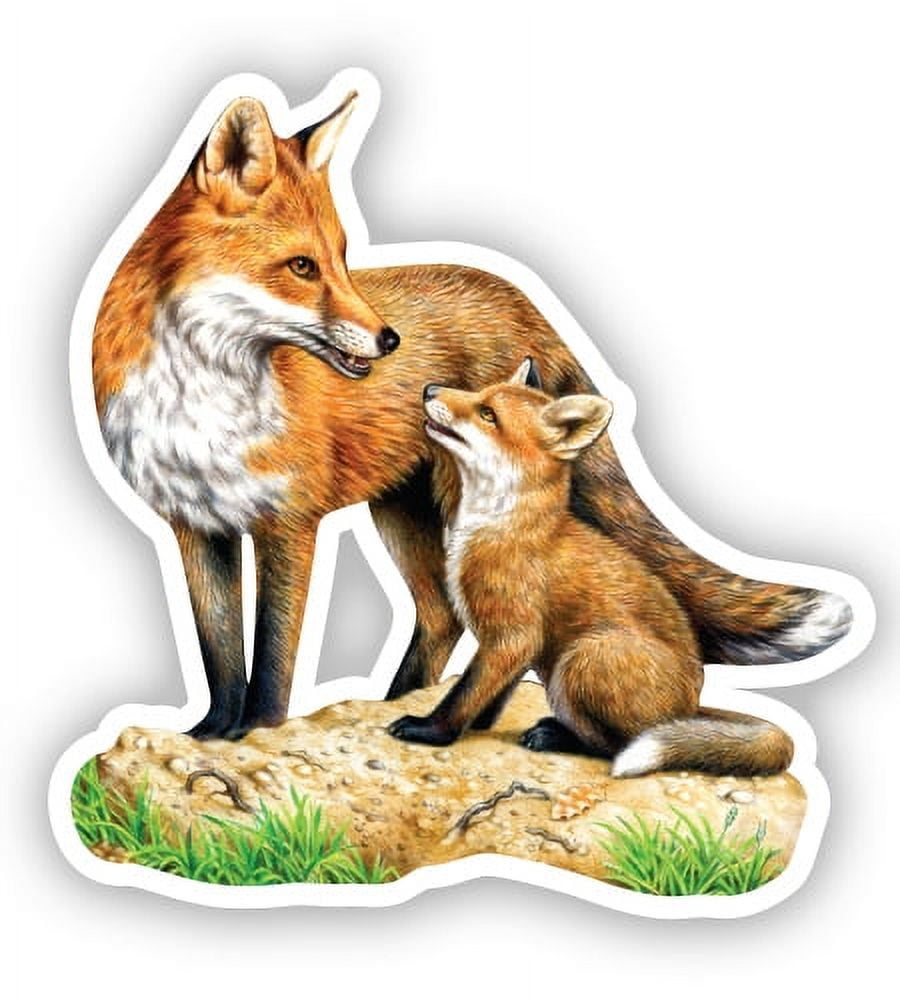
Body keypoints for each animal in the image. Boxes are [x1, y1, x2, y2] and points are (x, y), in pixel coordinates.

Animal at [388, 361, 794, 777]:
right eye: (478, 393)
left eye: (488, 414)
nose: (429, 389)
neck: (501, 527)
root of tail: (690, 705)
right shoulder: (524, 645)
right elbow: (494, 692)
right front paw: (482, 723)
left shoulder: (512, 634)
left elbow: (465, 693)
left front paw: (430, 730)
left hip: (585, 658)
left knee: (616, 743)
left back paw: (557, 735)